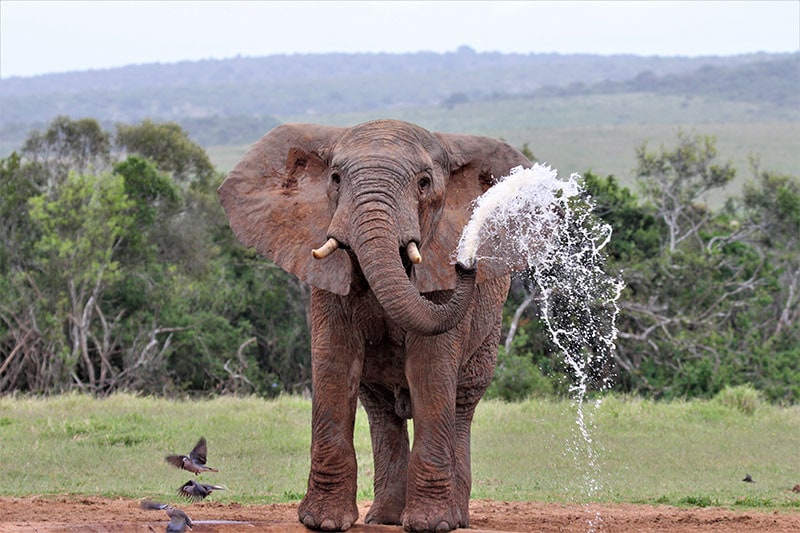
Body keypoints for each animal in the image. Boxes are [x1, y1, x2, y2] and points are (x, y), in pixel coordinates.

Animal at [217, 119, 531, 532]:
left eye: (424, 183)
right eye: (335, 178)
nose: (466, 260)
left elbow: (431, 370)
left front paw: (431, 525)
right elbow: (334, 364)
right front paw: (322, 522)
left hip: (488, 330)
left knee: (462, 402)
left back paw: (455, 519)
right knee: (381, 410)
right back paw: (384, 518)